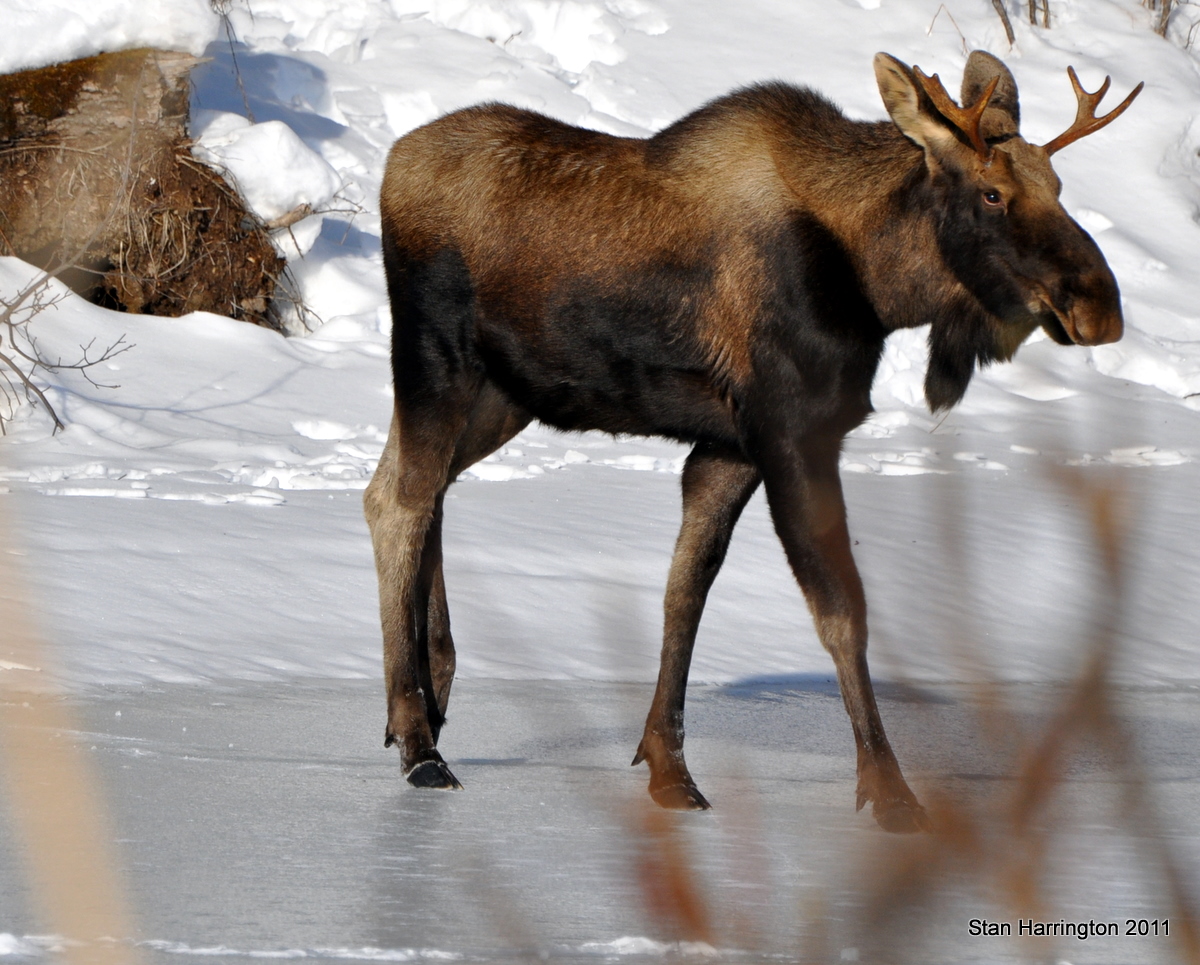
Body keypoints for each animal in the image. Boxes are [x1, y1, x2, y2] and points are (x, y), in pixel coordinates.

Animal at [364, 51, 1142, 832]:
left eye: (1058, 187)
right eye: (991, 193)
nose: (1099, 307)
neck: (877, 284)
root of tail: (393, 164)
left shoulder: (730, 448)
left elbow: (685, 591)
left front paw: (669, 767)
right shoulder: (793, 432)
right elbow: (842, 613)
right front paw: (890, 788)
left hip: (505, 395)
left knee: (409, 490)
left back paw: (433, 694)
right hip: (437, 362)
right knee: (402, 502)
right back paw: (420, 742)